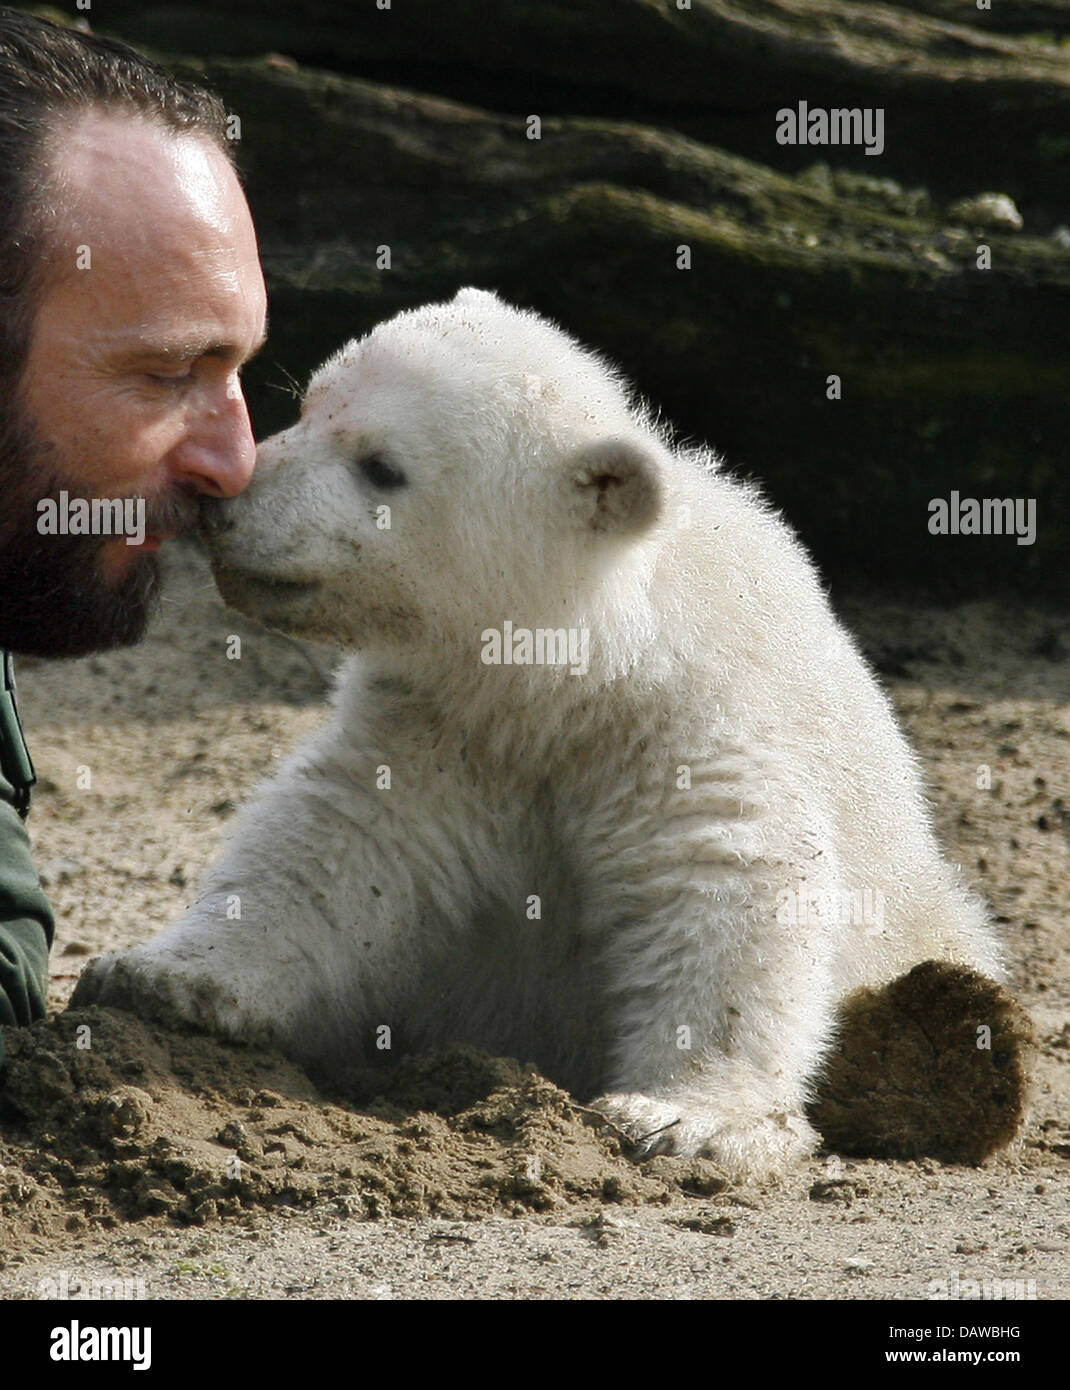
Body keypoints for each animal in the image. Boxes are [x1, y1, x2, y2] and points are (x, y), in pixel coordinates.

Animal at [73, 286, 1004, 1180]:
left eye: (383, 467)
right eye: (308, 403)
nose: (227, 502)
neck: (574, 672)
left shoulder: (686, 727)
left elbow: (731, 885)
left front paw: (686, 1119)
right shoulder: (446, 728)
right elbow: (334, 848)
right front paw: (157, 976)